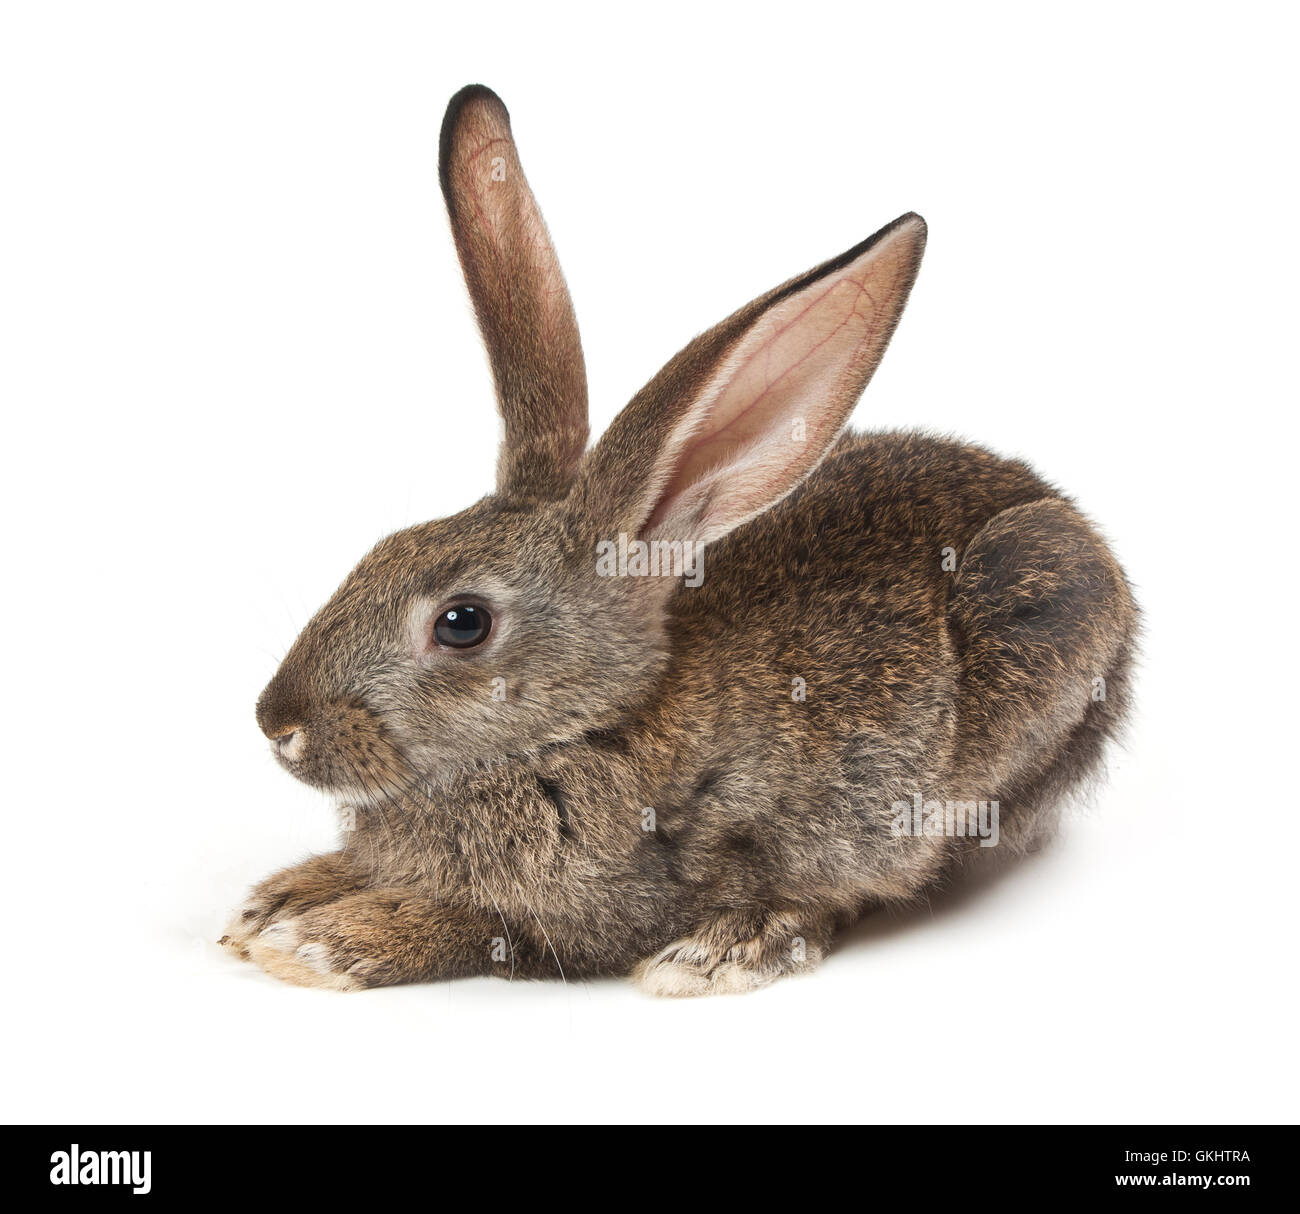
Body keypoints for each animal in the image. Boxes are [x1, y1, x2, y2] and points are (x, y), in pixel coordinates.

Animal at [221, 84, 1138, 995]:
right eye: (378, 549)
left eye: (462, 622)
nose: (277, 723)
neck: (587, 726)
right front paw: (280, 901)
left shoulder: (593, 908)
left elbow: (474, 923)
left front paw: (321, 941)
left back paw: (738, 943)